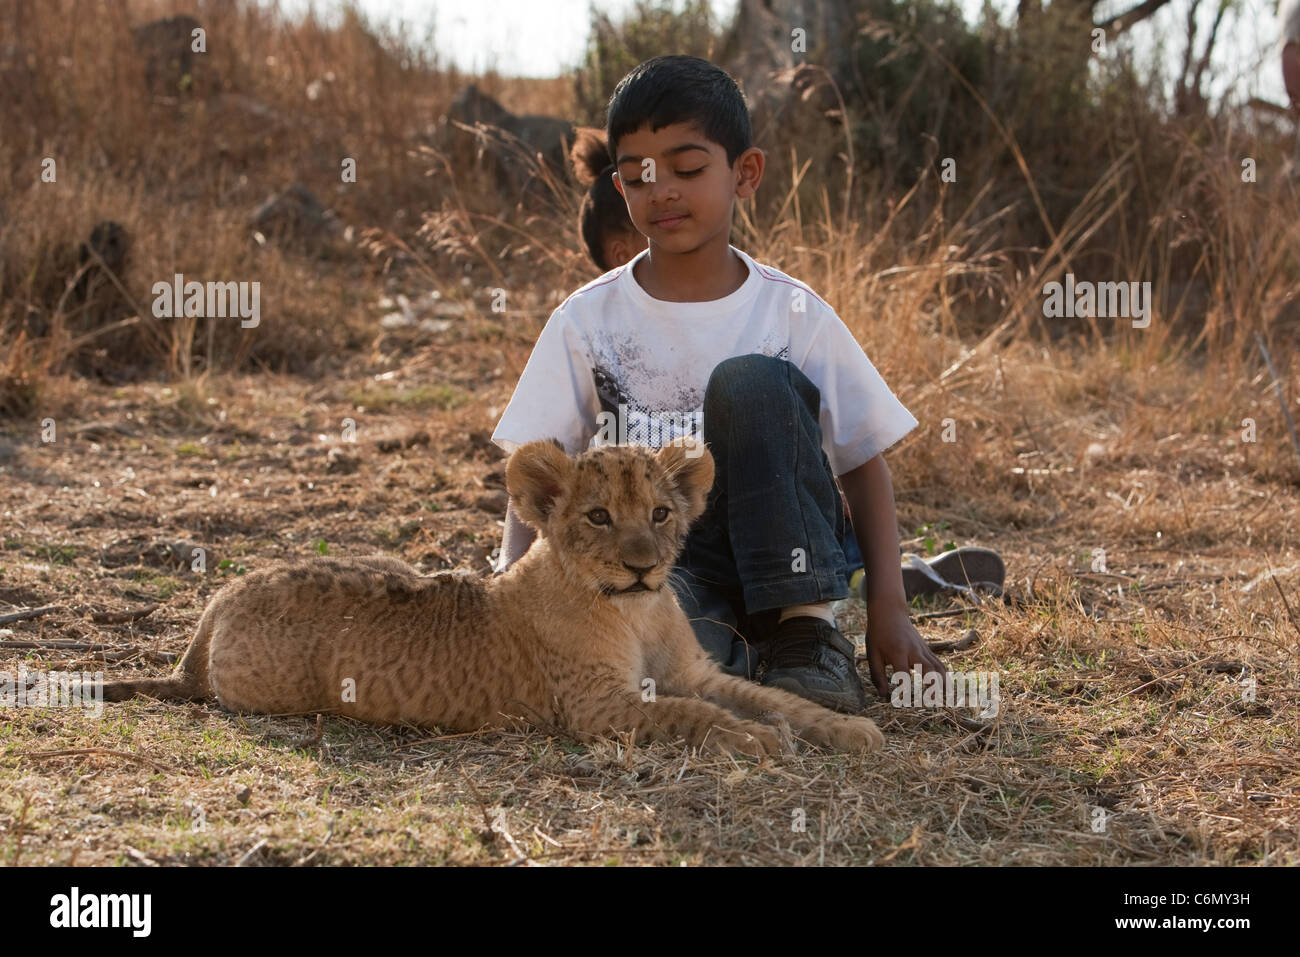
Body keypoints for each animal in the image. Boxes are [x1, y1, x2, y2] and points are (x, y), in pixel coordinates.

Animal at [99, 440, 883, 758]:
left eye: (661, 514)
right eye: (599, 516)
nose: (641, 566)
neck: (634, 609)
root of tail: (216, 605)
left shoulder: (697, 672)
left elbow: (771, 698)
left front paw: (847, 729)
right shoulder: (600, 708)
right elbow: (693, 716)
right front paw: (753, 740)